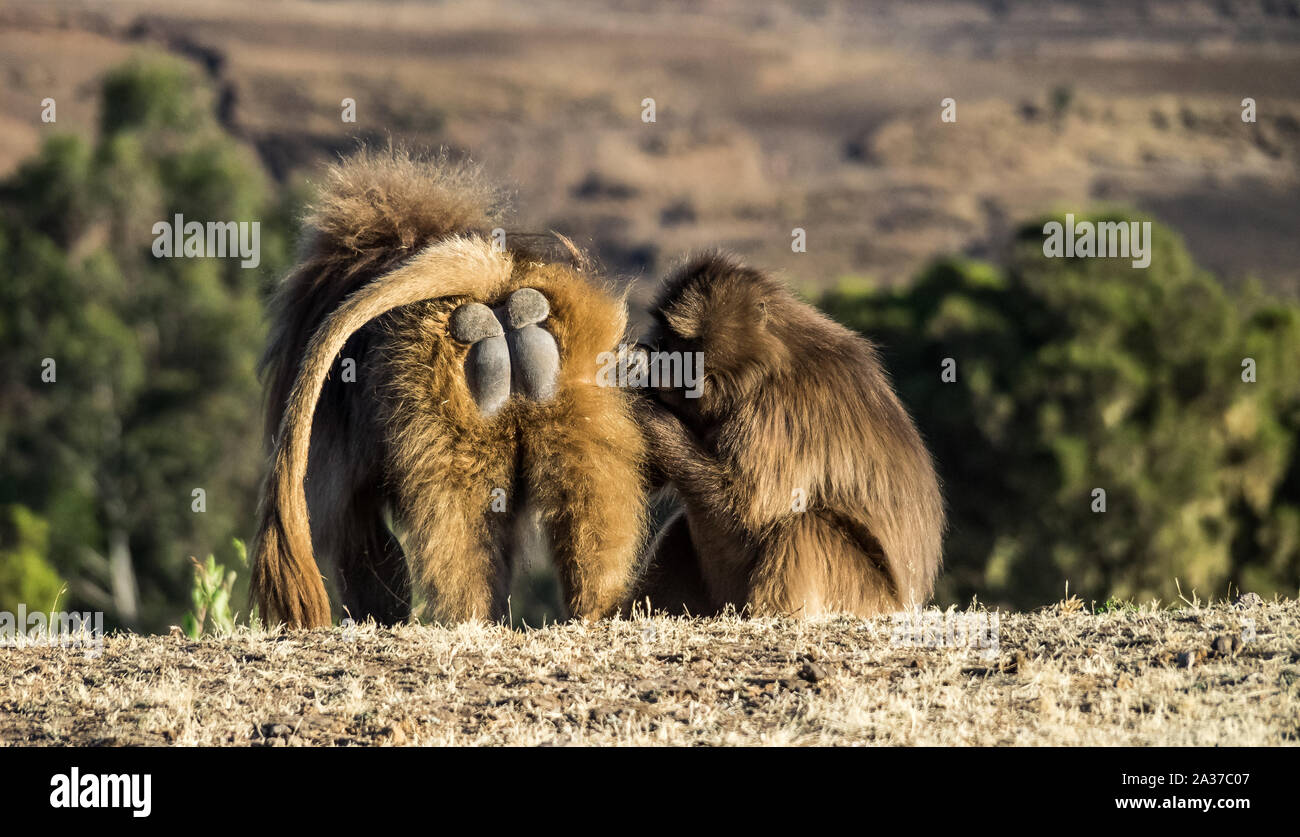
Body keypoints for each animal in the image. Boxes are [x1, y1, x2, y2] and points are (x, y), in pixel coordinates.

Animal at [250, 148, 646, 629]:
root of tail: (494, 281)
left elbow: (358, 530)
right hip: (557, 381)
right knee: (573, 489)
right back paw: (588, 609)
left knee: (454, 516)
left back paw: (475, 618)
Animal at [625, 252, 944, 618]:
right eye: (665, 340)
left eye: (686, 345)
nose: (659, 362)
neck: (760, 369)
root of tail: (905, 604)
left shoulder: (783, 411)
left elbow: (746, 506)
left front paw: (641, 405)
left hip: (863, 597)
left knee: (803, 526)